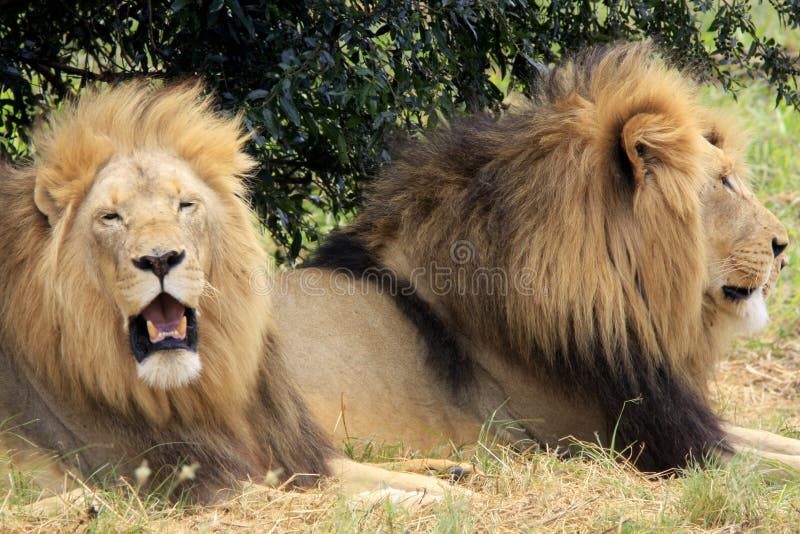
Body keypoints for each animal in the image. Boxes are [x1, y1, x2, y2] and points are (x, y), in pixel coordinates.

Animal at [0, 81, 461, 506]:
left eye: (185, 205)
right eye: (110, 217)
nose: (160, 259)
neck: (198, 393)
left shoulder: (294, 455)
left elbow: (377, 475)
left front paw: (452, 491)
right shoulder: (186, 484)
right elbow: (321, 500)